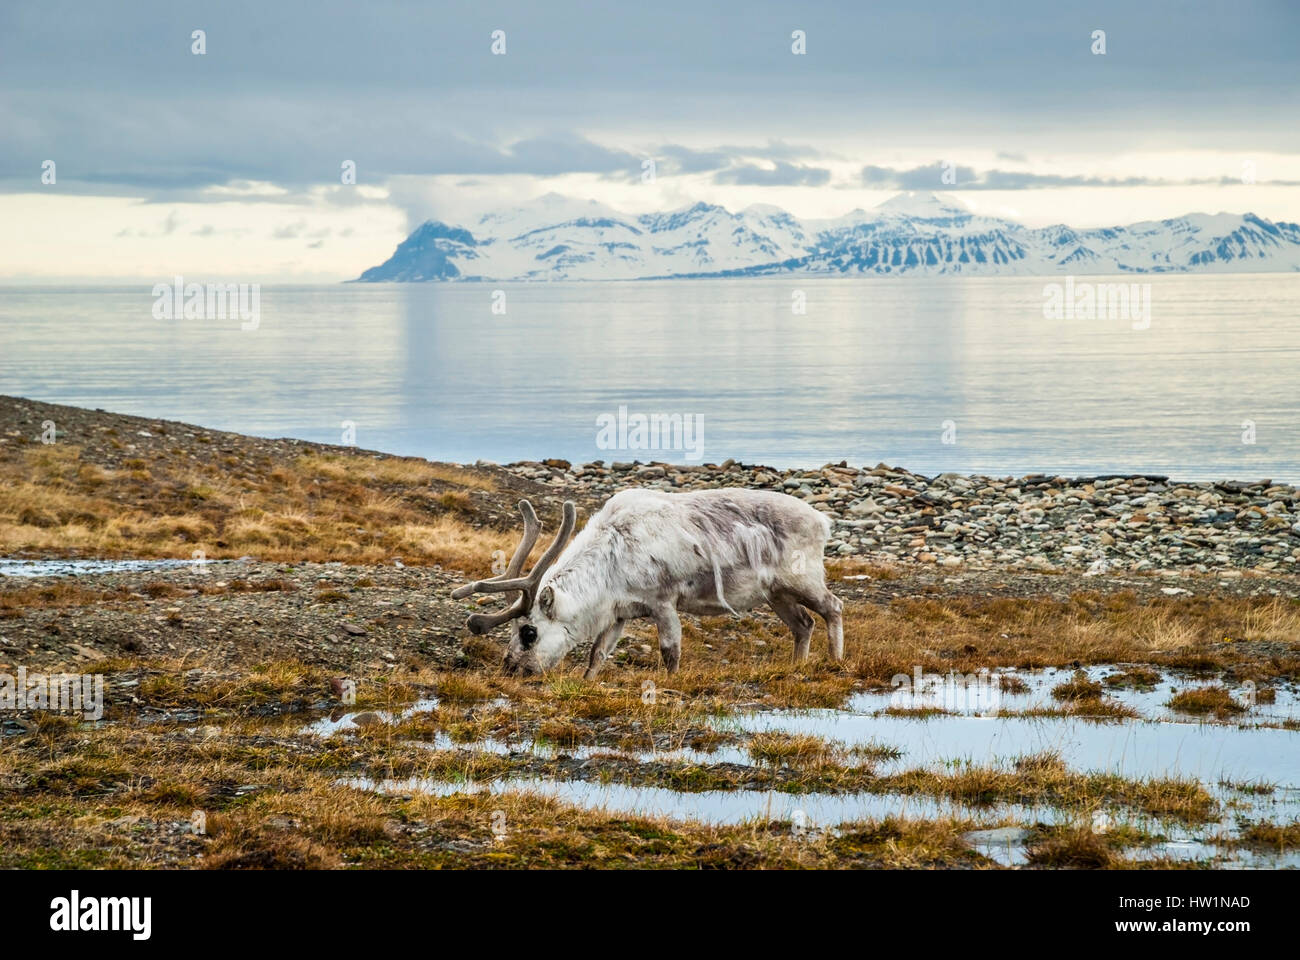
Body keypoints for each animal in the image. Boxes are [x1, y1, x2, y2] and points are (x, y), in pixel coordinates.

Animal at [451, 488, 843, 678]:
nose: (511, 669)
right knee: (803, 623)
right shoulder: (620, 613)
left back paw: (835, 661)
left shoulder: (663, 601)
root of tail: (823, 521)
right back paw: (796, 666)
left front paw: (671, 683)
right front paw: (587, 681)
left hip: (802, 578)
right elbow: (597, 654)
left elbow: (670, 652)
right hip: (775, 593)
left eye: (528, 632)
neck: (609, 563)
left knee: (833, 606)